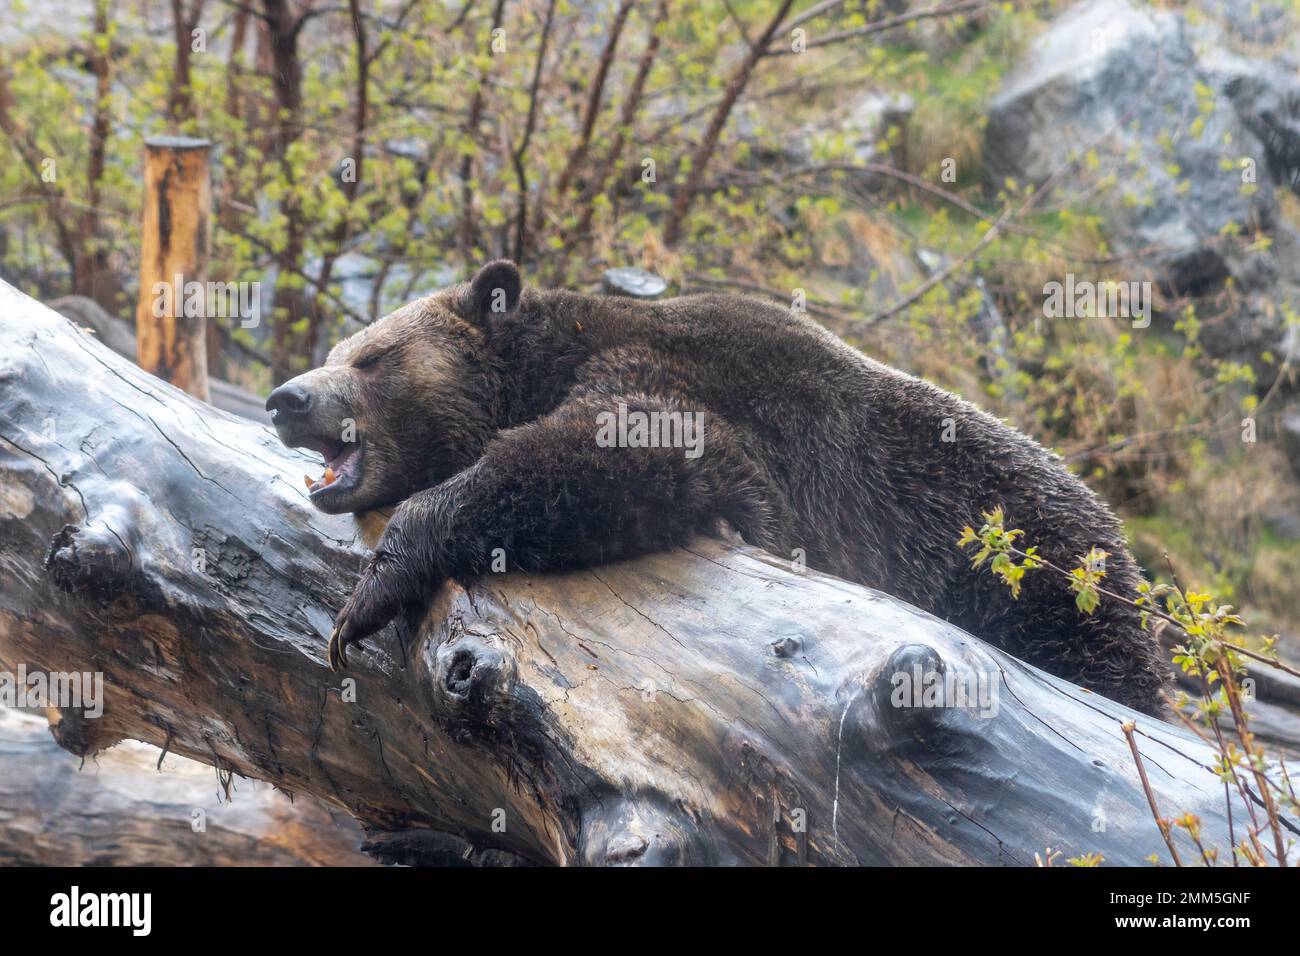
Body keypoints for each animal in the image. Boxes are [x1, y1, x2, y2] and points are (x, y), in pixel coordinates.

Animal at [266, 259, 1169, 715]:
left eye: (371, 356)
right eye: (341, 346)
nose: (285, 397)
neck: (545, 360)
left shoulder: (695, 392)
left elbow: (611, 455)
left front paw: (370, 593)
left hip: (1041, 580)